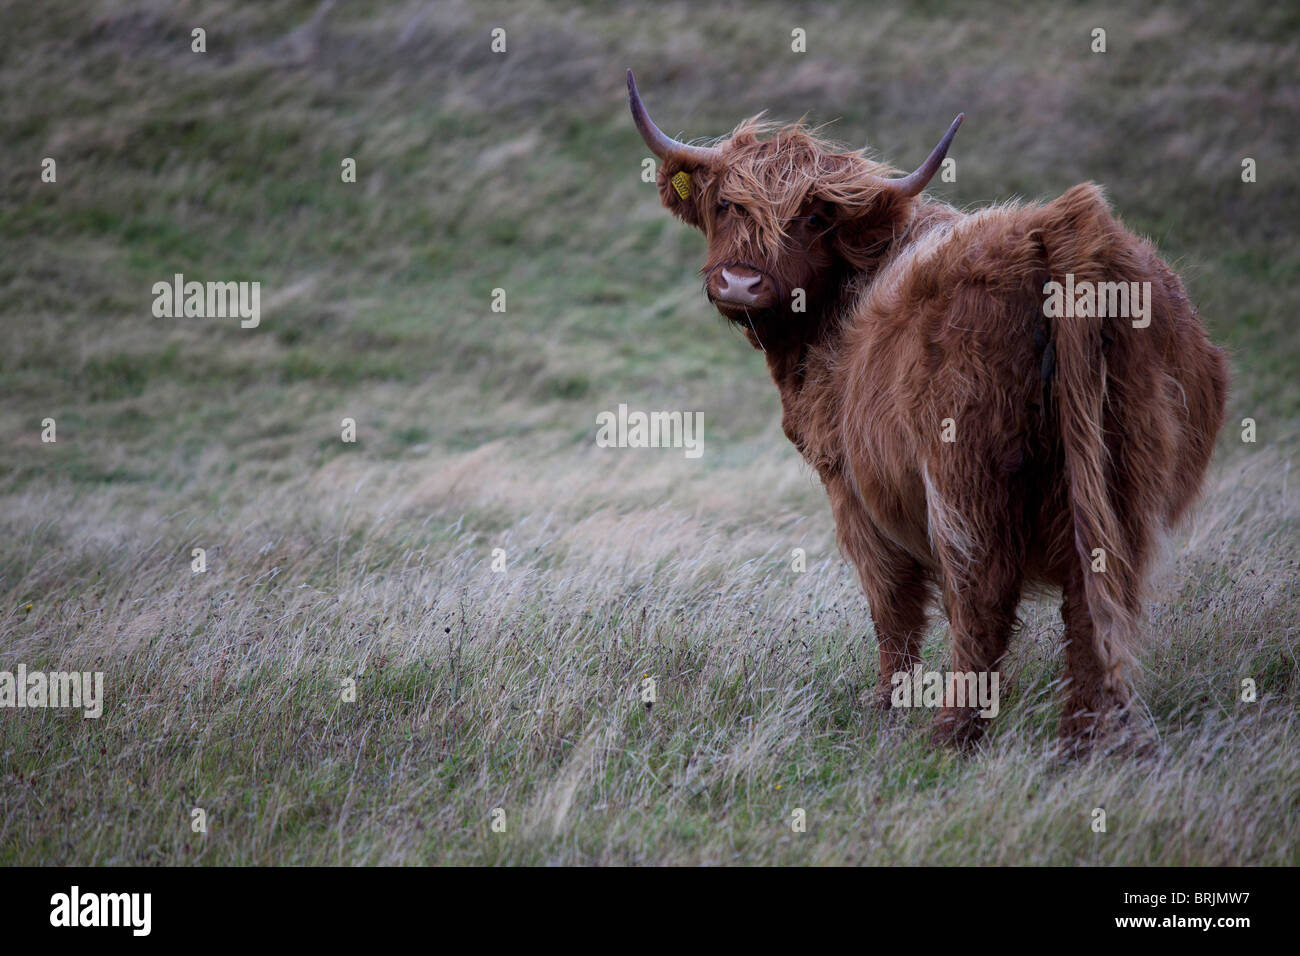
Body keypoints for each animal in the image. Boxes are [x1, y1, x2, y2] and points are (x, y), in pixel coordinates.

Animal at [627, 70, 1229, 751]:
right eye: (728, 203)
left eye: (812, 217)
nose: (739, 283)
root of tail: (1058, 227)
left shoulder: (850, 489)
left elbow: (892, 606)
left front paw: (884, 712)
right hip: (1121, 479)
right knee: (1089, 602)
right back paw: (1077, 741)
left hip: (961, 477)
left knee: (980, 595)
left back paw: (949, 735)